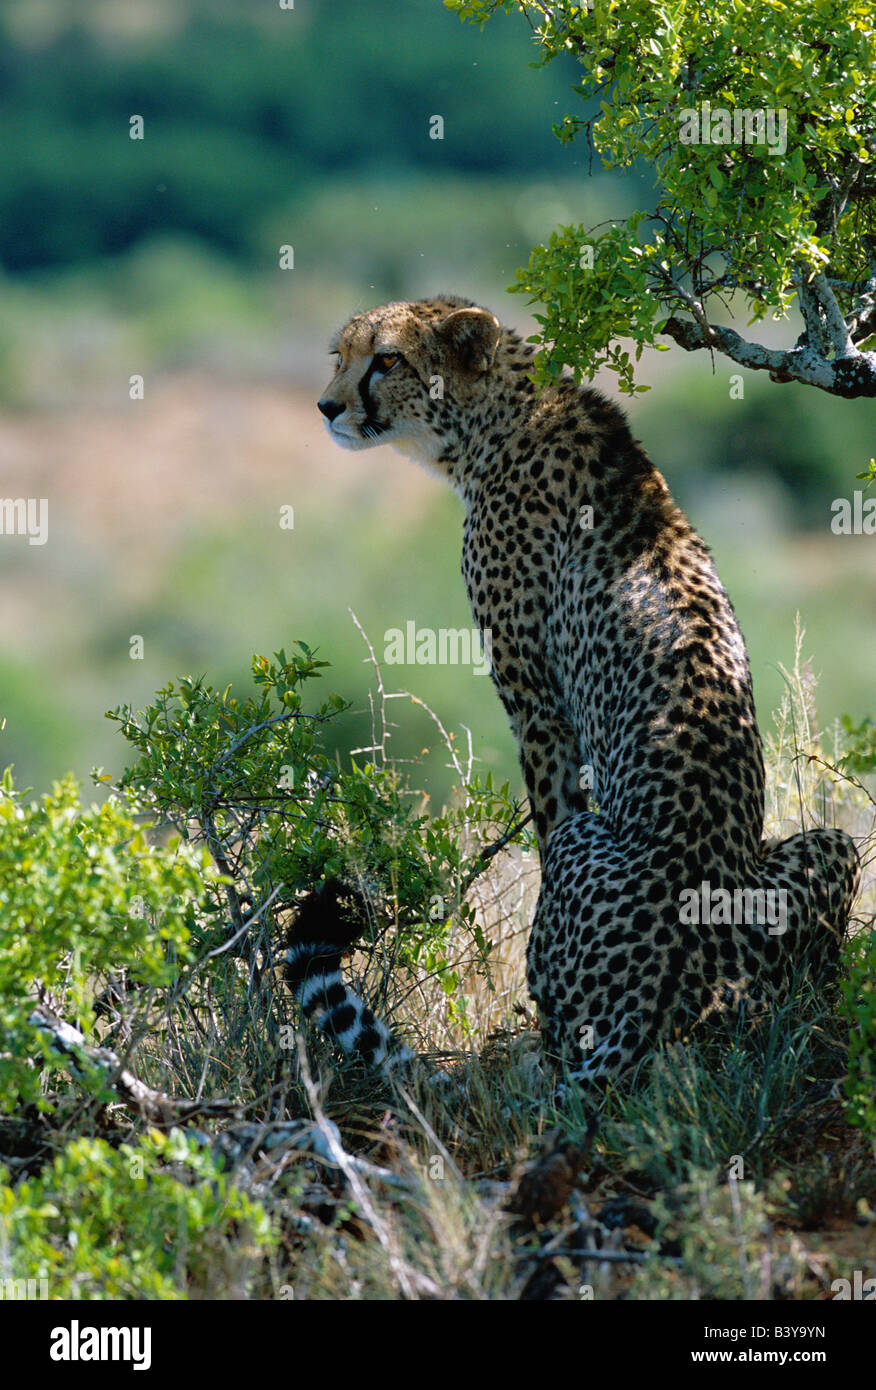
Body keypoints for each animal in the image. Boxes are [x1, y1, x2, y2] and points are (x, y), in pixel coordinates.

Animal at [296, 293, 859, 1091]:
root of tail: (676, 972)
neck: (500, 418)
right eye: (340, 356)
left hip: (584, 852)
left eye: (387, 360)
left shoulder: (535, 702)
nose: (327, 406)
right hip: (829, 850)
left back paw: (545, 1048)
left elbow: (548, 810)